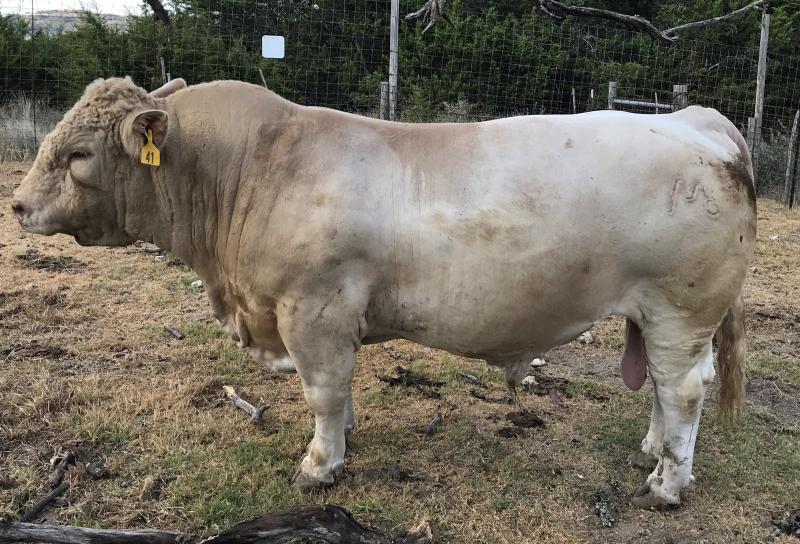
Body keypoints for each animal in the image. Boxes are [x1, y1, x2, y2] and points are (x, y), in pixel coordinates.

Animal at [11, 77, 756, 509]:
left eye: (78, 154)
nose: (17, 205)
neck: (250, 167)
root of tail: (698, 122)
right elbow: (340, 392)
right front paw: (344, 436)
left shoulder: (311, 310)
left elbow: (322, 390)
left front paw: (319, 464)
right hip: (656, 315)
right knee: (661, 386)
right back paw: (652, 450)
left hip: (681, 307)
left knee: (684, 389)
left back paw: (667, 484)